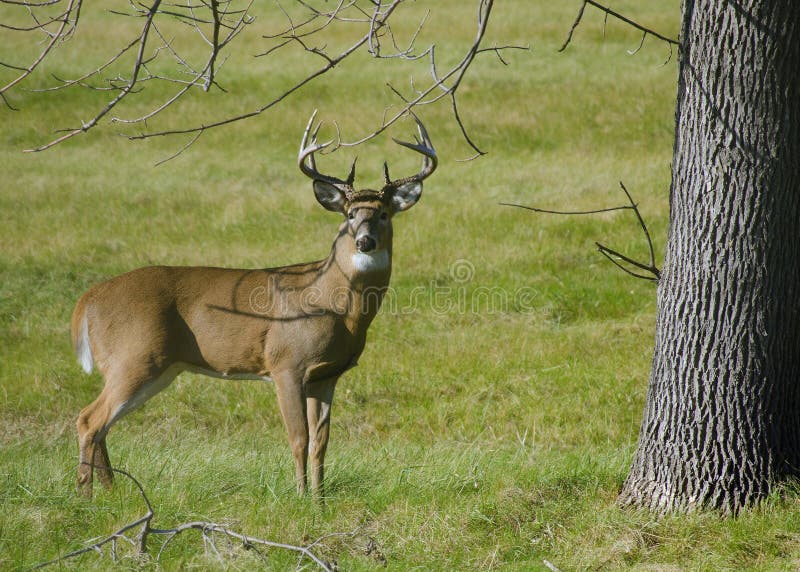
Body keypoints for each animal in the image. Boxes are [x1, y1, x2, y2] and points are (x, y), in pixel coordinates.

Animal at [71, 111, 437, 500]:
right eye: (349, 214)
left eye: (384, 214)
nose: (365, 242)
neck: (331, 304)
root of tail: (88, 299)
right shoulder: (285, 362)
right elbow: (298, 438)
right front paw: (300, 497)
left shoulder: (327, 374)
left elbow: (321, 442)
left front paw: (320, 499)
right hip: (134, 355)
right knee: (89, 418)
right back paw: (86, 497)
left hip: (159, 367)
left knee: (102, 424)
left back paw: (111, 492)